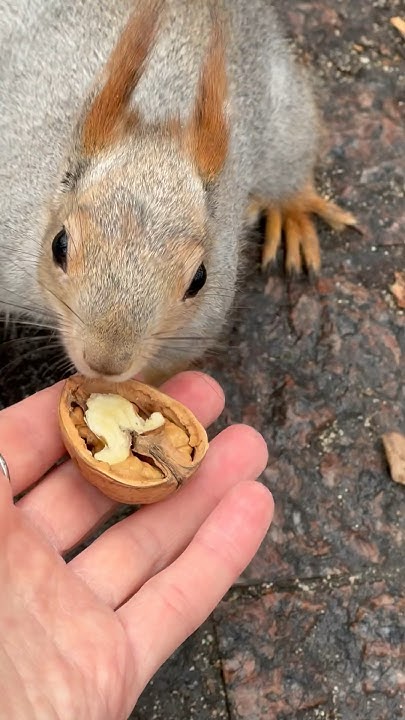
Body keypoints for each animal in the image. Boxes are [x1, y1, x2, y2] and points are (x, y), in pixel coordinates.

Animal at [0, 0, 356, 385]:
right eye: (59, 245)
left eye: (199, 279)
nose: (106, 362)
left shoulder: (198, 324)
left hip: (284, 112)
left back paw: (293, 212)